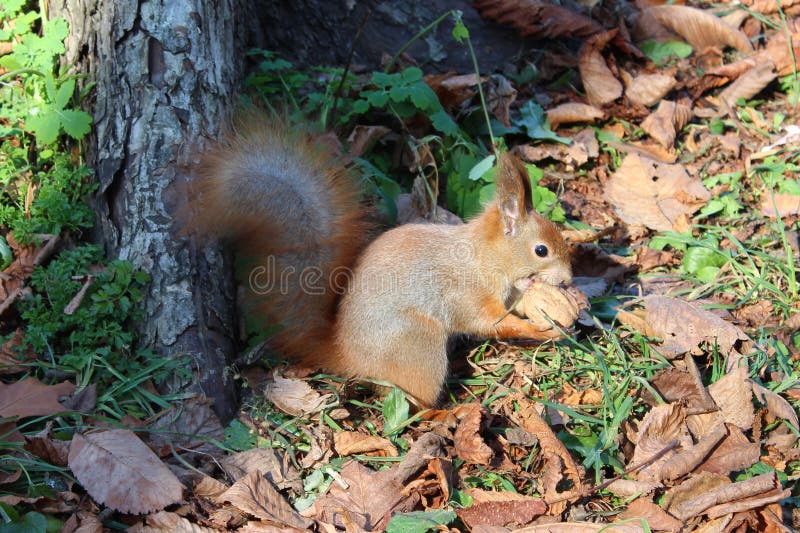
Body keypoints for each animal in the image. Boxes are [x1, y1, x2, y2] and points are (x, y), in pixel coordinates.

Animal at [188, 117, 573, 407]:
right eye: (541, 250)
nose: (568, 279)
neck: (483, 257)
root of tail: (348, 355)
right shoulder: (468, 295)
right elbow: (491, 322)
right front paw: (539, 330)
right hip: (418, 341)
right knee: (415, 402)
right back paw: (446, 413)